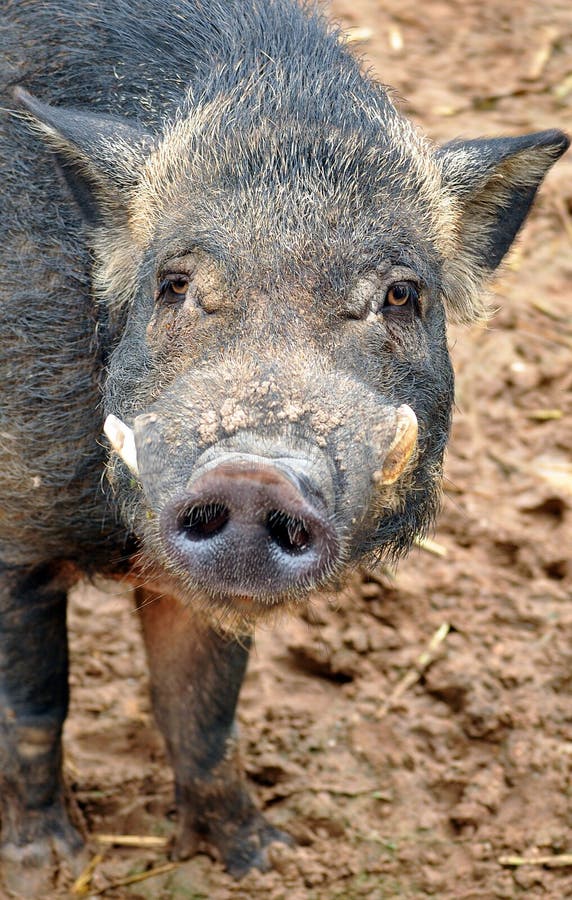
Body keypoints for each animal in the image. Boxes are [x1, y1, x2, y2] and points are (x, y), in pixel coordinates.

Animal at [0, 0, 568, 892]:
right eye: (174, 283)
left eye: (401, 294)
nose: (253, 475)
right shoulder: (15, 529)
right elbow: (32, 706)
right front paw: (46, 867)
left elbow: (202, 710)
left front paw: (264, 861)